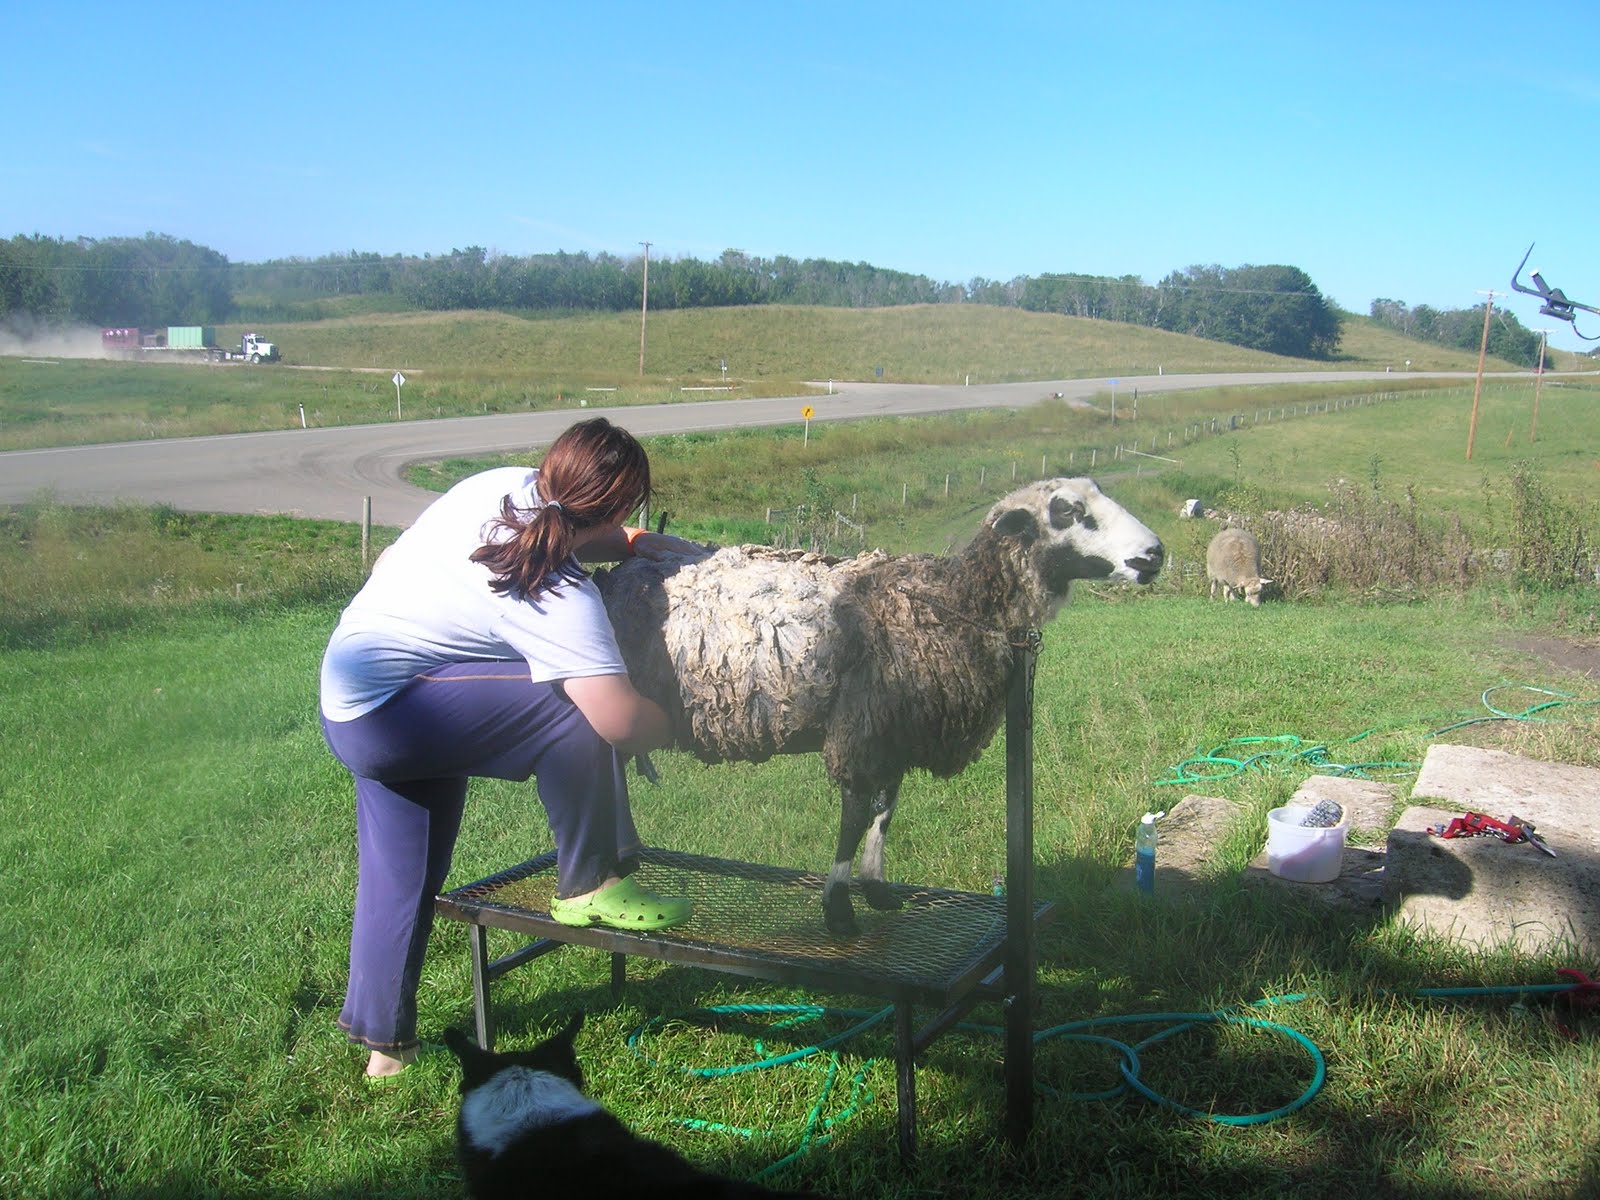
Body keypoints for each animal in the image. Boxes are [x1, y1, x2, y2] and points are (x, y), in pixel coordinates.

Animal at [595, 478, 1164, 935]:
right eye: (1068, 511)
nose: (1155, 553)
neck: (953, 602)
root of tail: (617, 571)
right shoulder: (861, 727)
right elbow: (853, 816)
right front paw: (838, 907)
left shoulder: (897, 730)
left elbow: (886, 810)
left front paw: (876, 888)